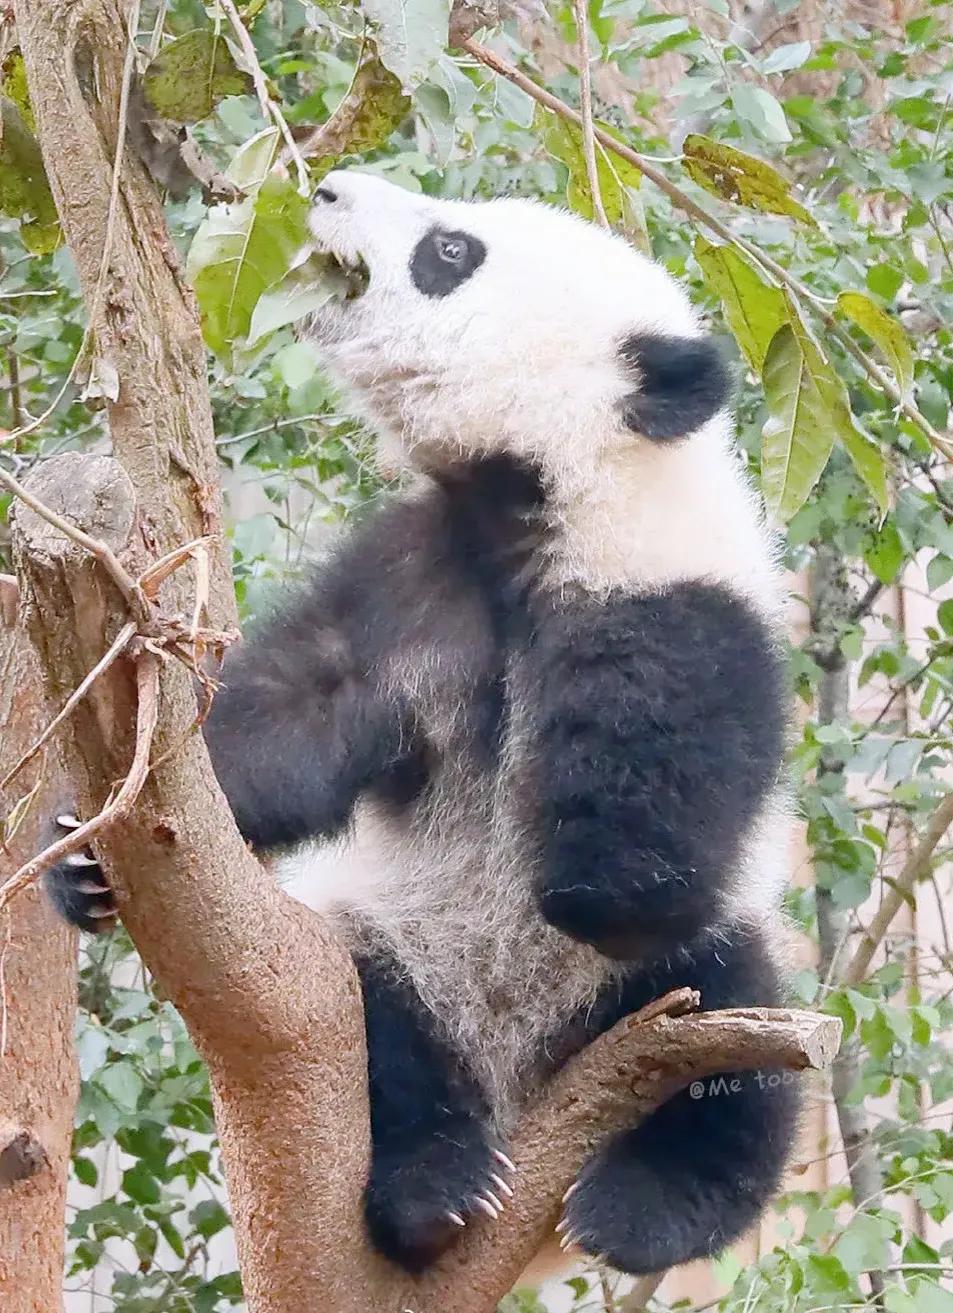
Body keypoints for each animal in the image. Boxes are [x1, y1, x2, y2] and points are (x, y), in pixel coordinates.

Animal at [46, 169, 799, 1279]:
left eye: (452, 250)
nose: (327, 187)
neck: (540, 504)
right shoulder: (411, 585)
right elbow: (295, 714)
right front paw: (85, 852)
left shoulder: (689, 613)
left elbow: (652, 842)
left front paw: (584, 862)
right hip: (386, 939)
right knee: (386, 1043)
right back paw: (435, 1188)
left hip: (681, 989)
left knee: (733, 1040)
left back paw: (641, 1204)